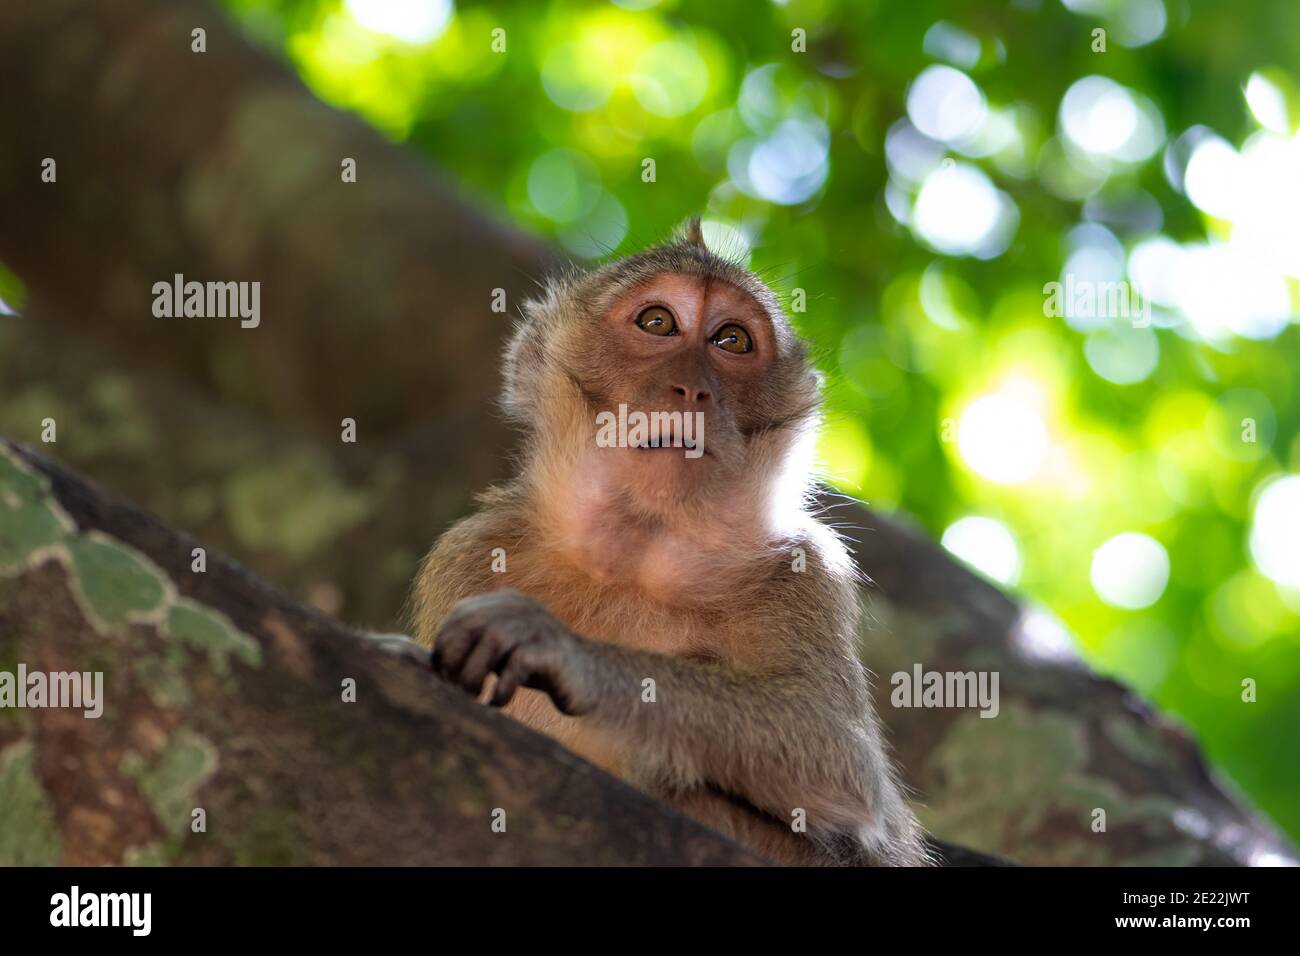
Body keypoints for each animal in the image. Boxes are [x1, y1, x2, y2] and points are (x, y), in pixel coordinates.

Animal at [408, 219, 929, 866]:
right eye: (658, 323)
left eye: (731, 340)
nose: (692, 389)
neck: (635, 554)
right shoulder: (470, 554)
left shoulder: (807, 569)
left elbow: (837, 756)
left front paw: (564, 652)